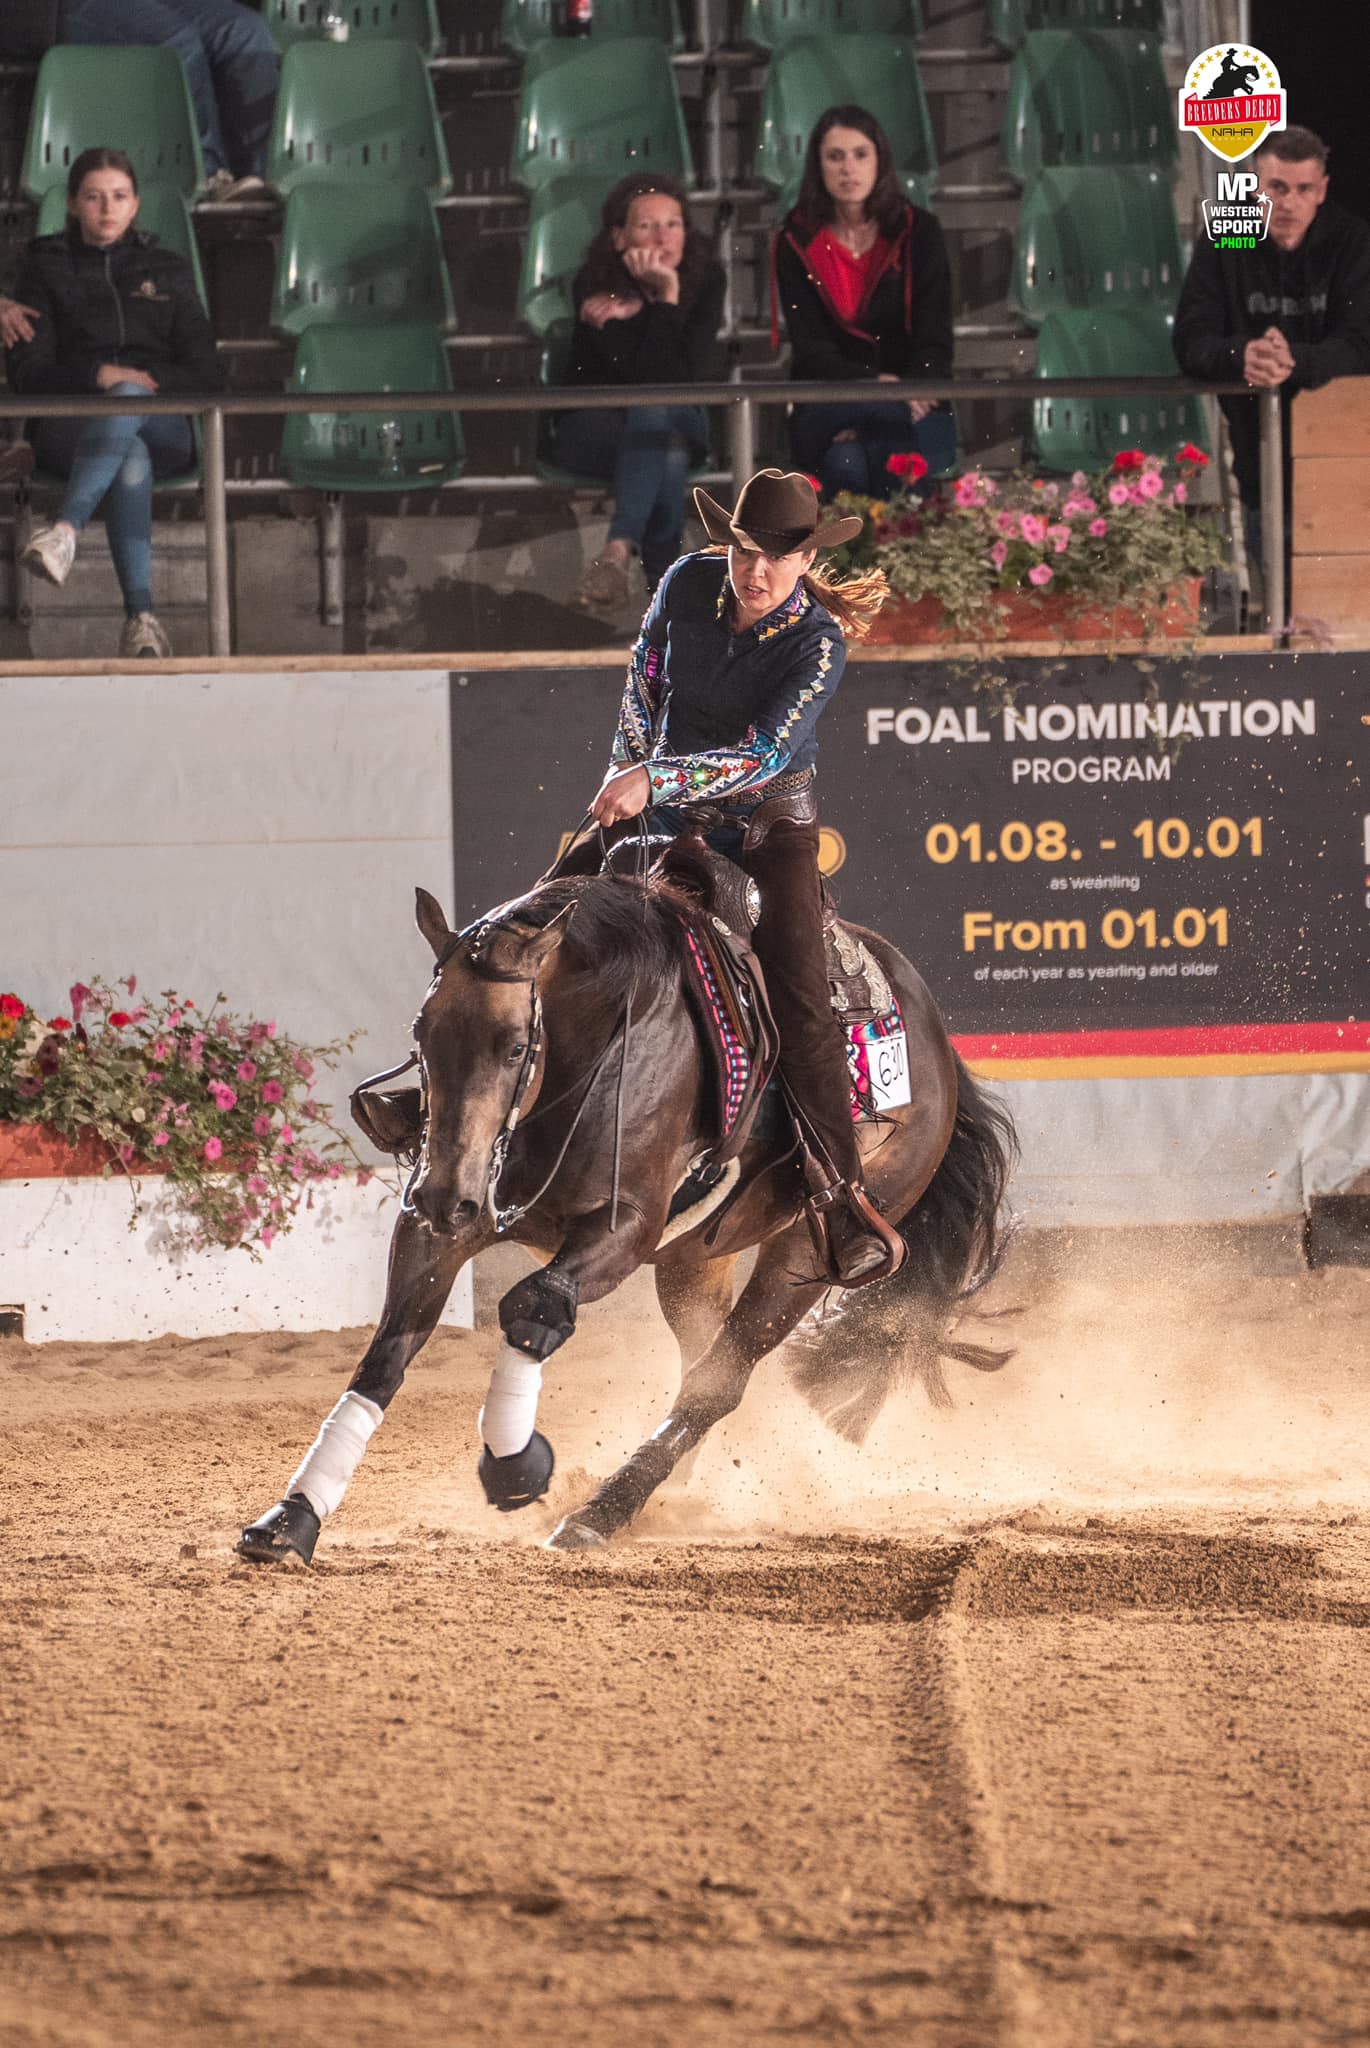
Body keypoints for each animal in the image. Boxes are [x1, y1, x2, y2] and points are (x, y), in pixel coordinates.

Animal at [237, 861, 1017, 1564]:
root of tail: (939, 1046)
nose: (439, 1194)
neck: (591, 1049)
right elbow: (387, 1352)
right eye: (421, 1035)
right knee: (698, 1360)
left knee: (717, 1382)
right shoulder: (443, 1225)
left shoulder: (625, 1228)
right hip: (693, 1260)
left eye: (514, 1046)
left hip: (806, 1254)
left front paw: (515, 1464)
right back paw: (667, 1490)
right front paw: (291, 1518)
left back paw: (601, 1511)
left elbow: (531, 1308)